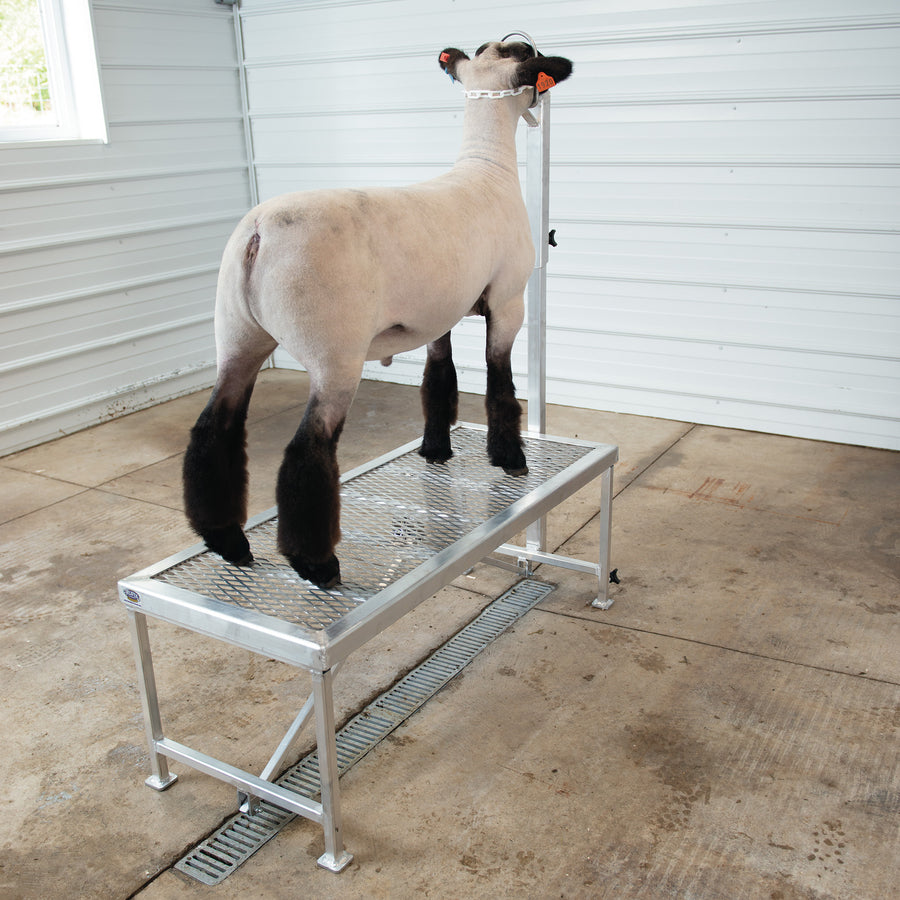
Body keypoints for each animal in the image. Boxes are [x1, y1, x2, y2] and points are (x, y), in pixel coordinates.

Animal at [182, 38, 573, 589]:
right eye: (527, 52)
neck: (486, 167)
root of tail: (259, 232)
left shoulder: (438, 313)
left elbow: (438, 379)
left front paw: (435, 450)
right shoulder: (507, 298)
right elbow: (500, 384)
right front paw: (510, 458)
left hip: (236, 334)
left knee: (211, 429)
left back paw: (227, 542)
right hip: (335, 351)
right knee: (308, 450)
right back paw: (316, 564)